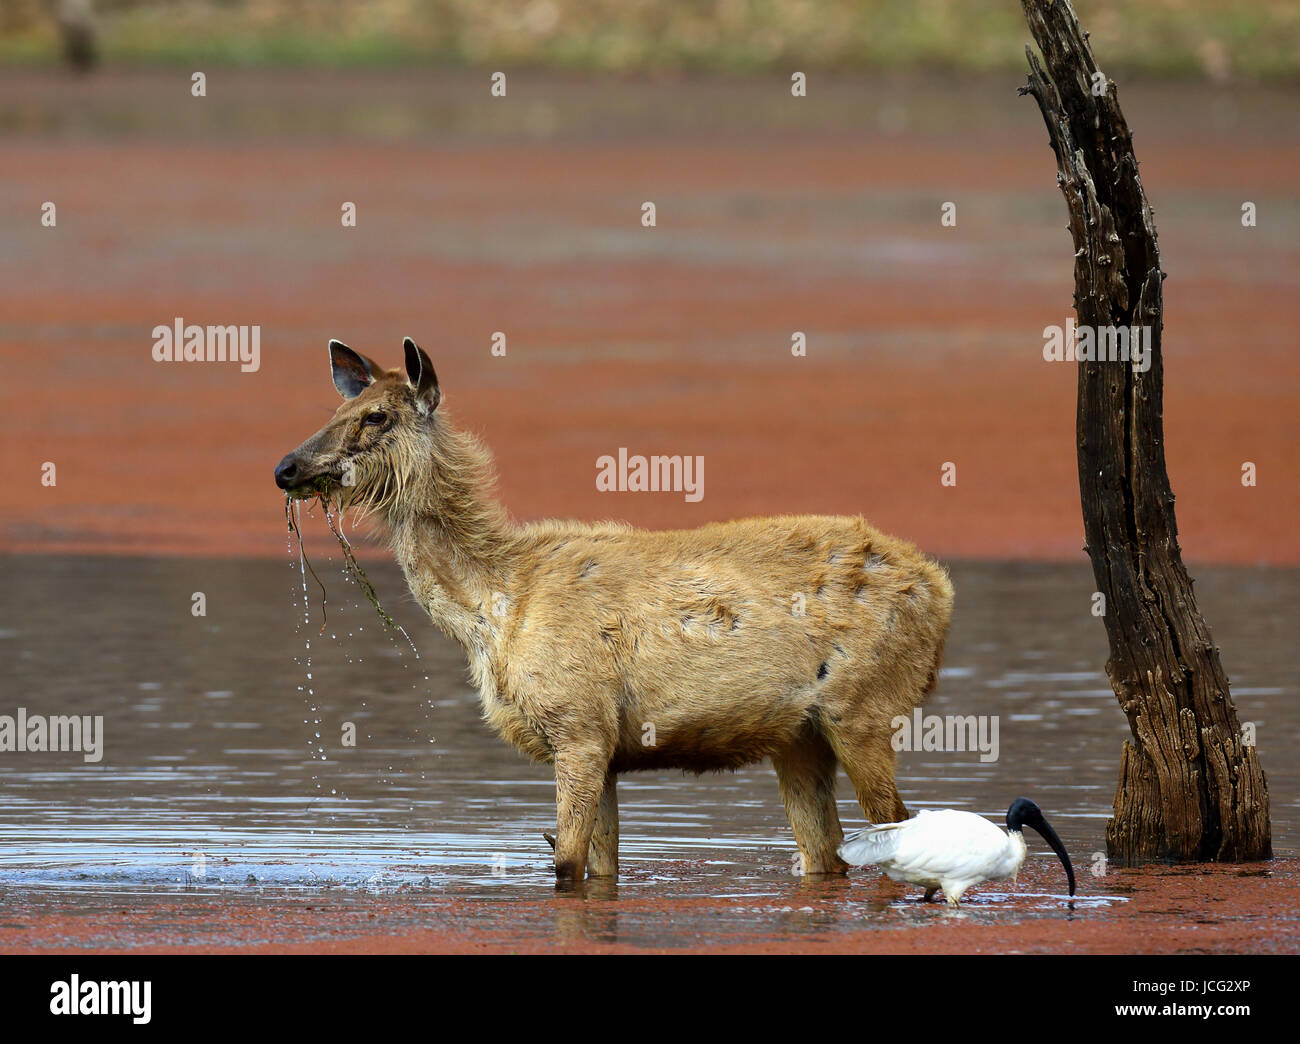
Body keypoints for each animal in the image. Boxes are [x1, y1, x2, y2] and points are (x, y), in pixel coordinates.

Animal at [274, 338, 955, 885]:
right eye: (334, 411)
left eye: (377, 415)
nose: (286, 468)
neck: (493, 607)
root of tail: (939, 590)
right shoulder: (601, 741)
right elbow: (599, 867)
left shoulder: (579, 722)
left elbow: (565, 865)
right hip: (799, 735)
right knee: (828, 855)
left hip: (864, 705)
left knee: (897, 828)